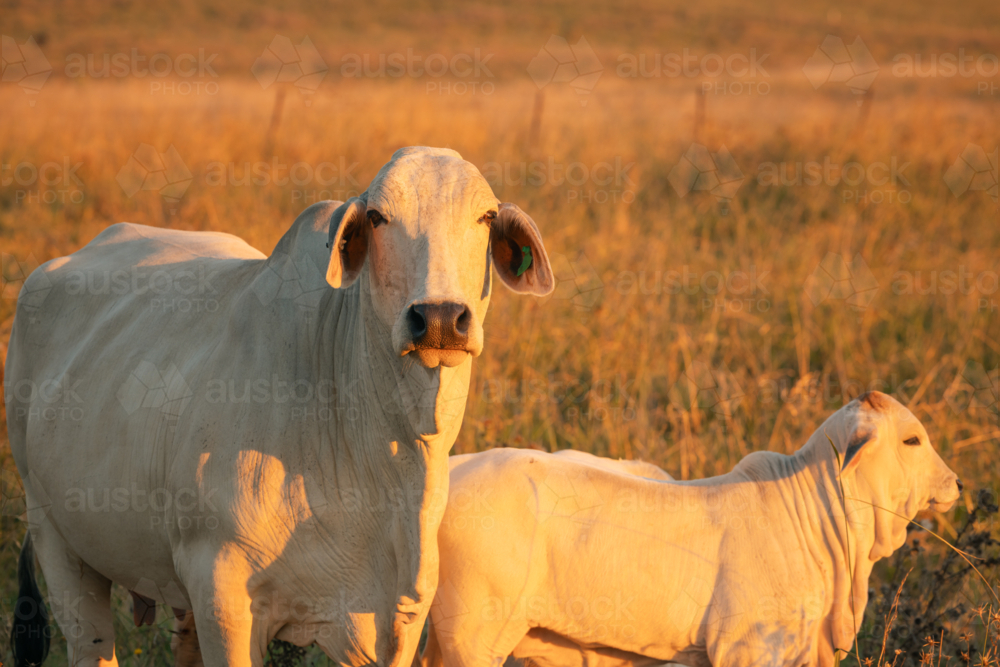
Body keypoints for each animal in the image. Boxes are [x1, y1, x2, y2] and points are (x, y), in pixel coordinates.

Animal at [6, 146, 553, 667]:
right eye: (377, 217)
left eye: (486, 216)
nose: (439, 317)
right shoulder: (222, 593)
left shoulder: (403, 614)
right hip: (57, 539)